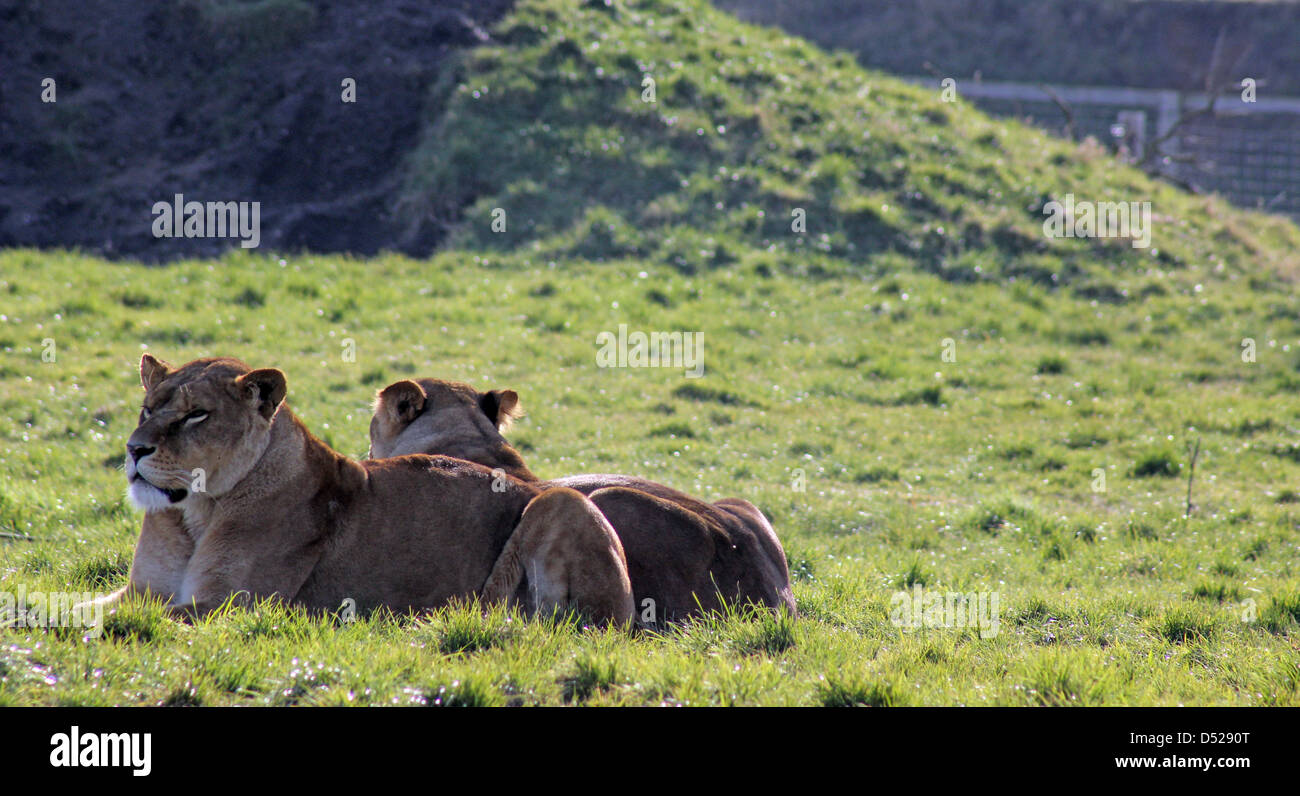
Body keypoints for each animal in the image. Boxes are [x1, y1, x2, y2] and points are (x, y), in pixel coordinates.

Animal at [105, 355, 634, 625]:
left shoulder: (229, 604)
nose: (134, 449)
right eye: (147, 408)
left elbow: (111, 625)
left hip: (563, 504)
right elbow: (88, 609)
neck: (195, 513)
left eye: (197, 414)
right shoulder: (141, 592)